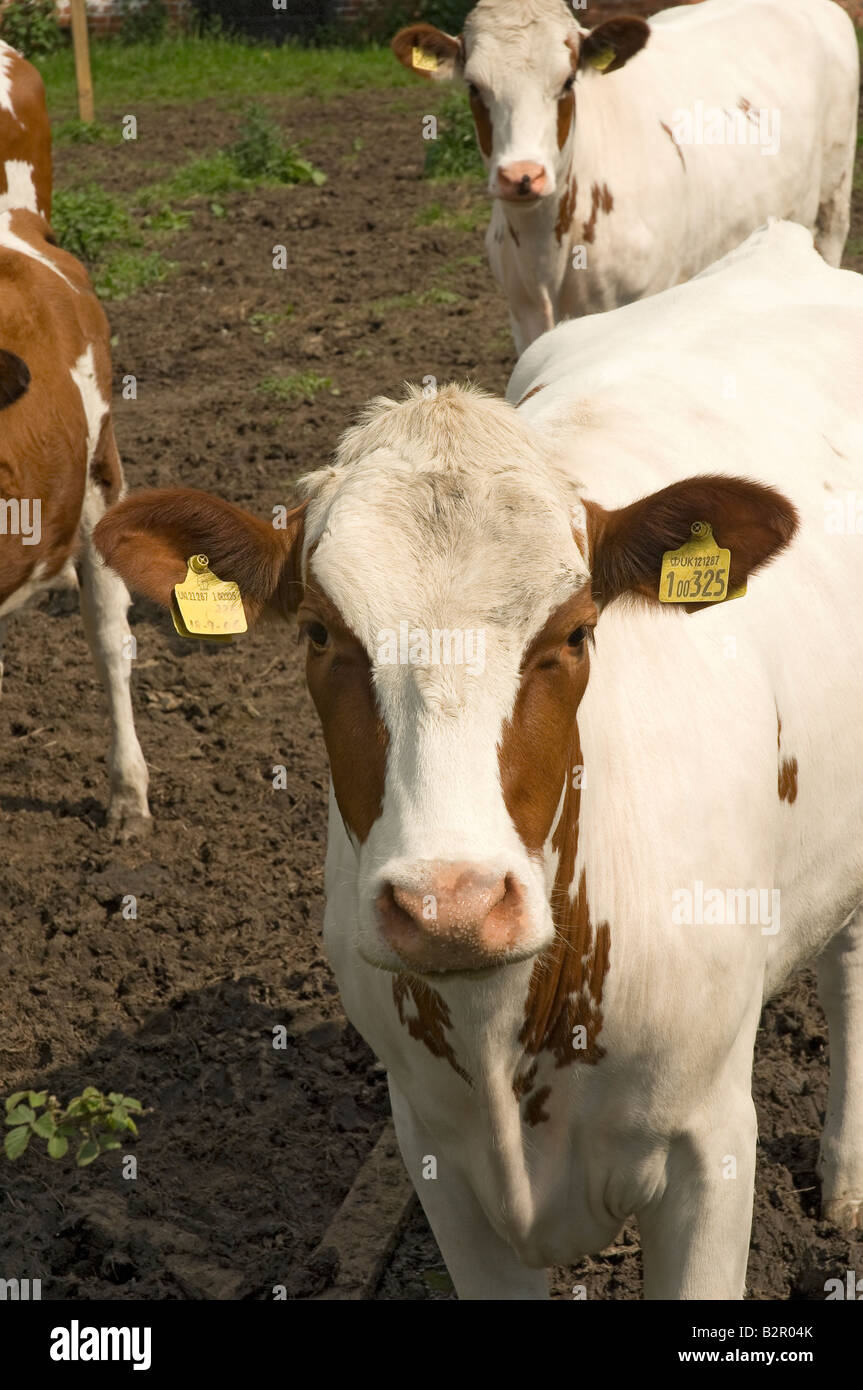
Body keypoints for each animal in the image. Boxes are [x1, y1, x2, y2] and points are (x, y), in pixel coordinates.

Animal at [93, 220, 863, 1297]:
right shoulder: (439, 1161)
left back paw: (843, 1178)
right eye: (320, 633)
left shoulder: (709, 1150)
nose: (449, 904)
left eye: (577, 631)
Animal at [392, 0, 859, 354]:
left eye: (567, 82)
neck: (548, 252)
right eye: (474, 87)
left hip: (834, 194)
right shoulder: (521, 315)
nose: (521, 176)